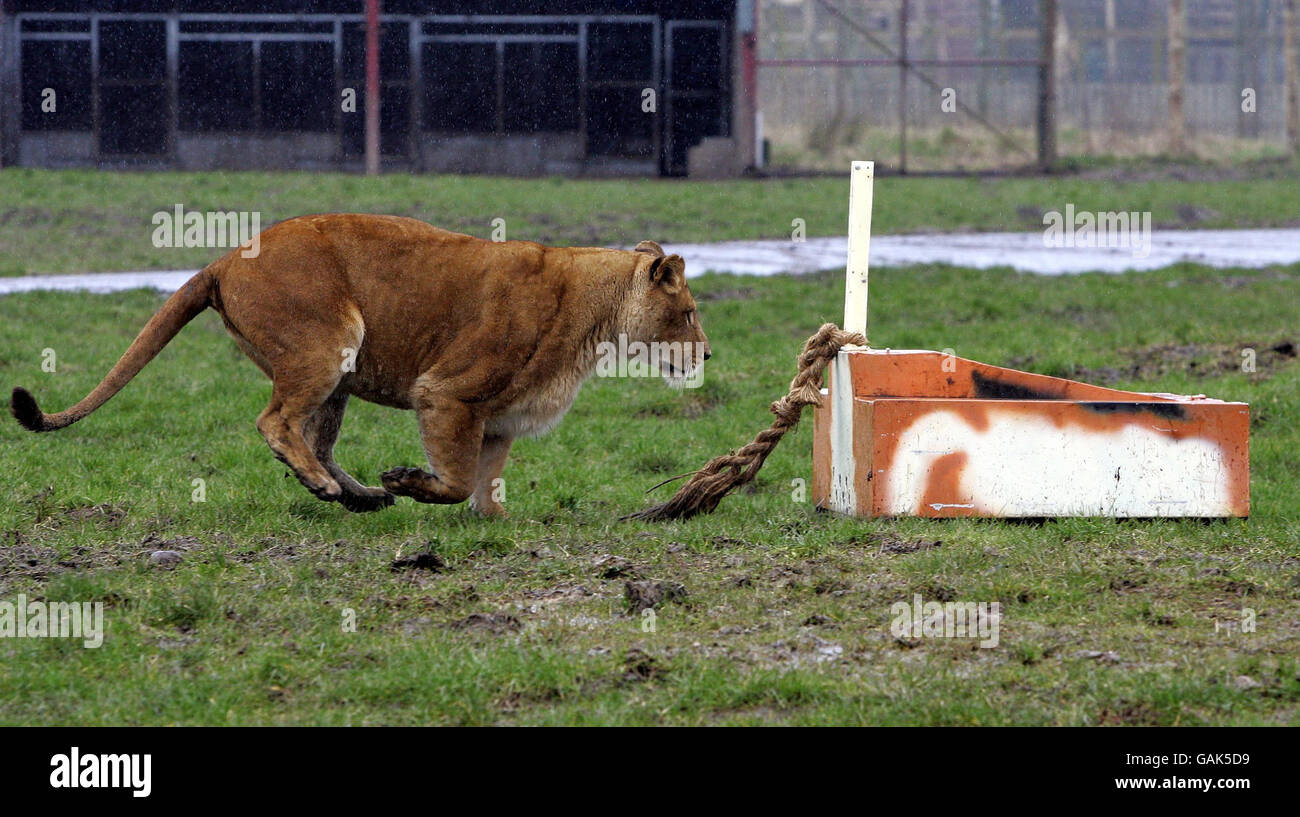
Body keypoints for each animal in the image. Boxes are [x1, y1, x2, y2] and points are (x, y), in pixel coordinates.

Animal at [11, 214, 711, 517]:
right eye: (689, 313)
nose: (707, 353)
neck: (597, 311)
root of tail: (224, 259)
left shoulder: (500, 421)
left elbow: (485, 487)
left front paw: (496, 528)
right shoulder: (447, 393)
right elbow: (456, 478)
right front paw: (410, 481)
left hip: (339, 376)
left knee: (314, 437)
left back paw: (356, 495)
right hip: (327, 342)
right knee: (274, 422)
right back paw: (335, 489)